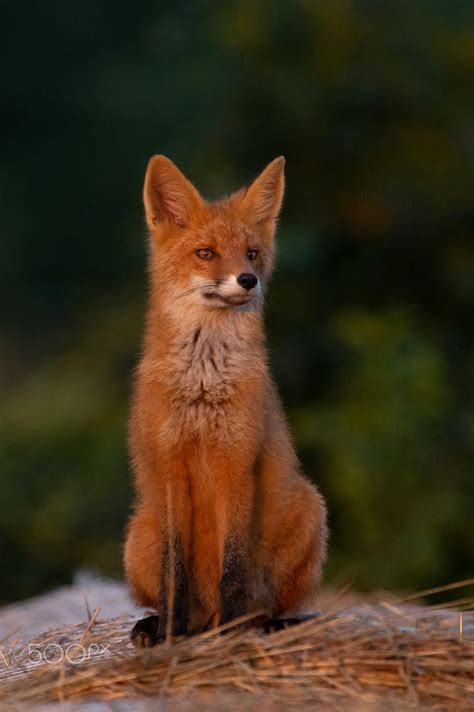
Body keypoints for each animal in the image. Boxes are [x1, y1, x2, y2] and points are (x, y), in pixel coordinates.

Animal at [124, 154, 328, 646]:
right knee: (174, 598)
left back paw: (261, 622)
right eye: (206, 253)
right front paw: (171, 633)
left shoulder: (237, 462)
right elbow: (174, 573)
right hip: (139, 532)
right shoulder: (169, 467)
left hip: (309, 506)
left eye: (251, 253)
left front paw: (234, 631)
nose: (248, 280)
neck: (203, 388)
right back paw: (161, 625)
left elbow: (233, 569)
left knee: (270, 600)